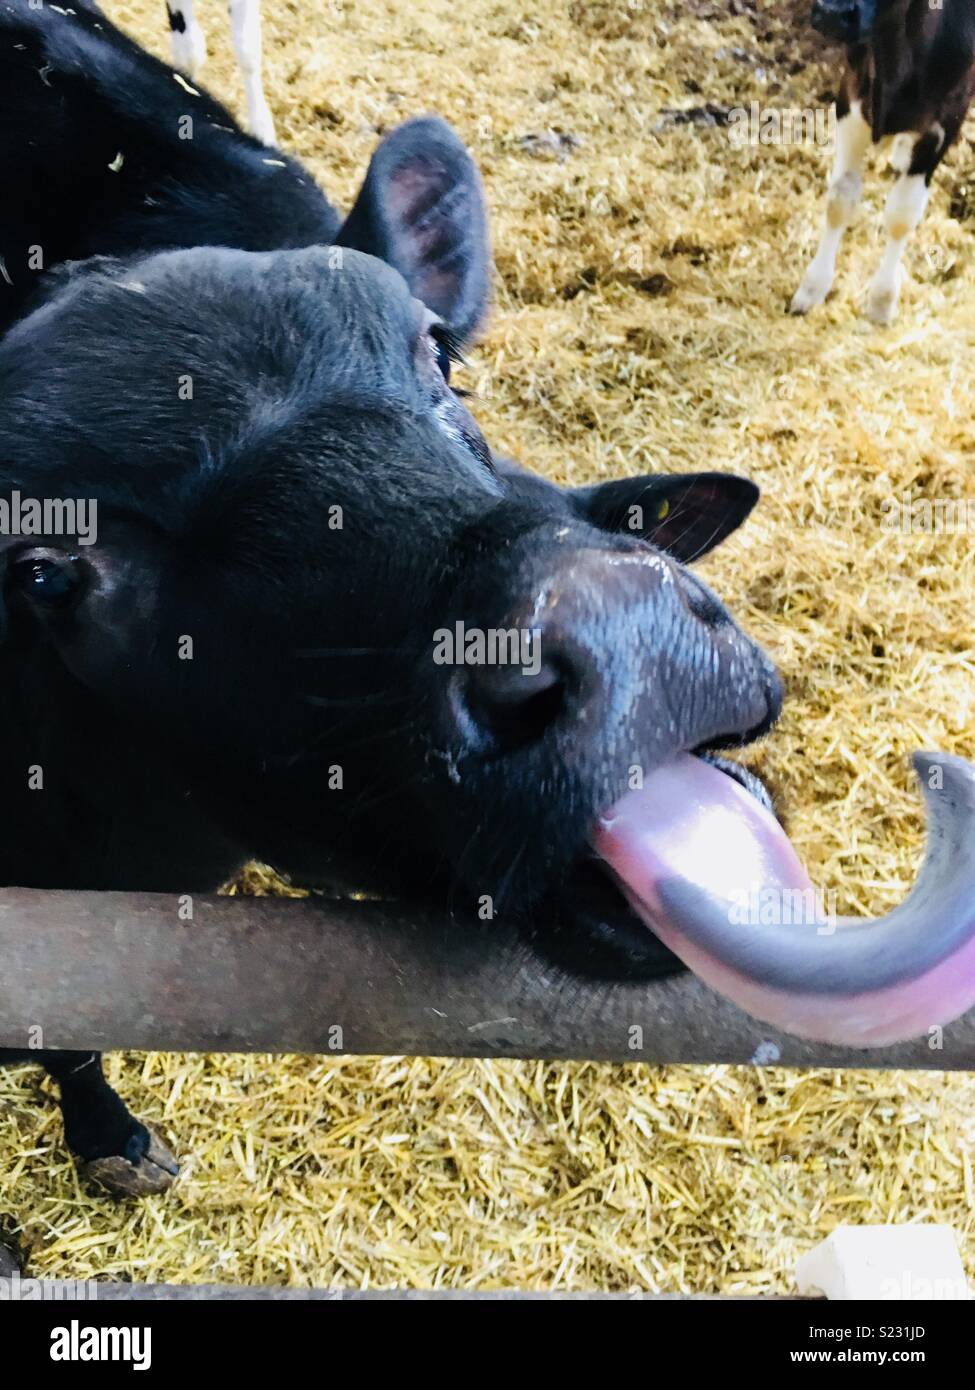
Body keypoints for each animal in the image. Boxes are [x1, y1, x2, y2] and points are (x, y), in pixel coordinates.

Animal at [791, 0, 975, 324]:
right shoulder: (851, 95)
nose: (831, 14)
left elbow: (902, 215)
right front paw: (813, 287)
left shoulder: (946, 118)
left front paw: (882, 300)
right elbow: (840, 199)